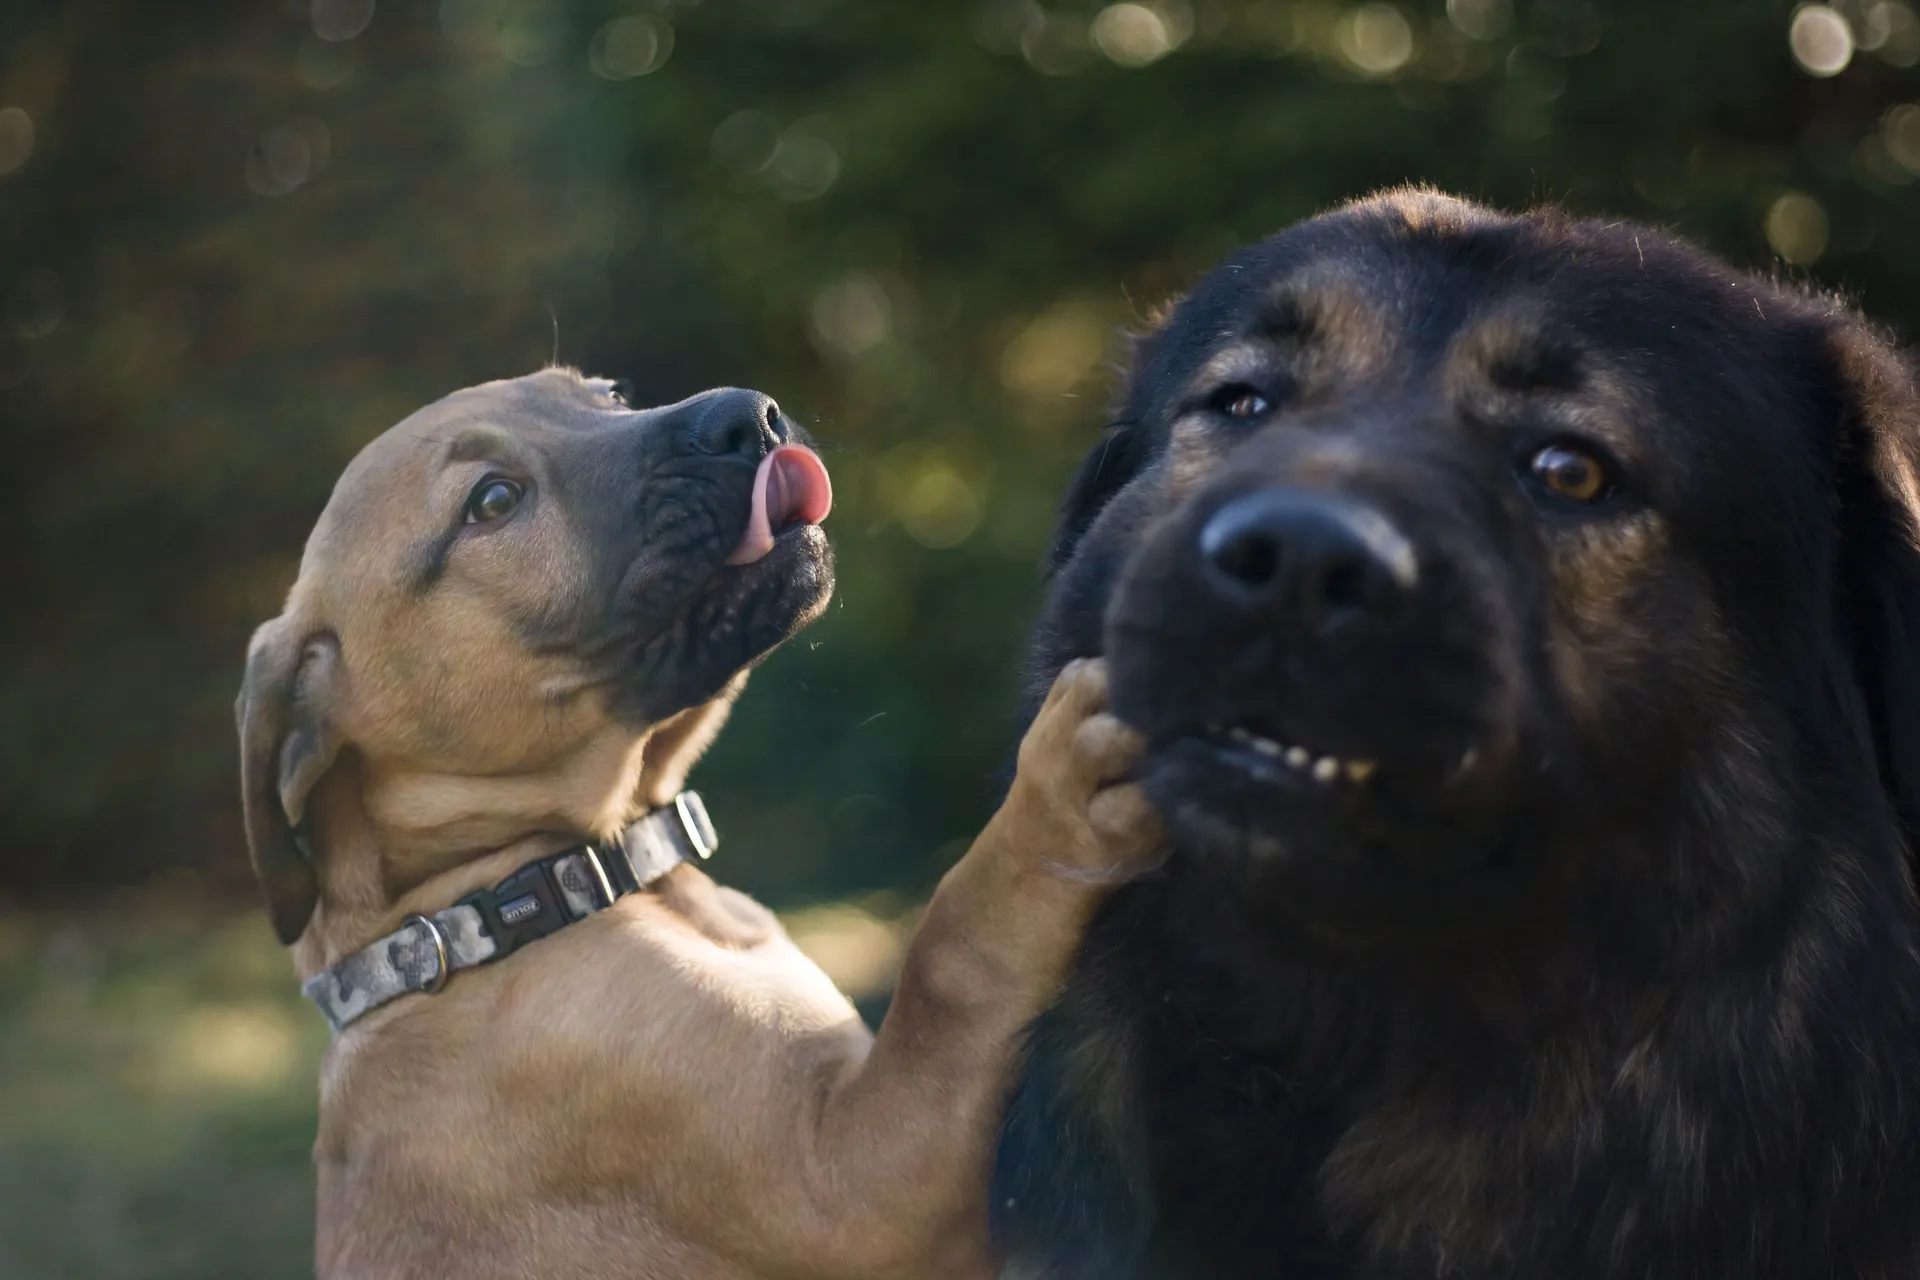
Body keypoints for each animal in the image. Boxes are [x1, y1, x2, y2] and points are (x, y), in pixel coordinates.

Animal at [240, 364, 1167, 1274]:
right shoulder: (849, 1184)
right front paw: (1052, 801)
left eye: (605, 393)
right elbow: (953, 950)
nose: (749, 417)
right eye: (493, 501)